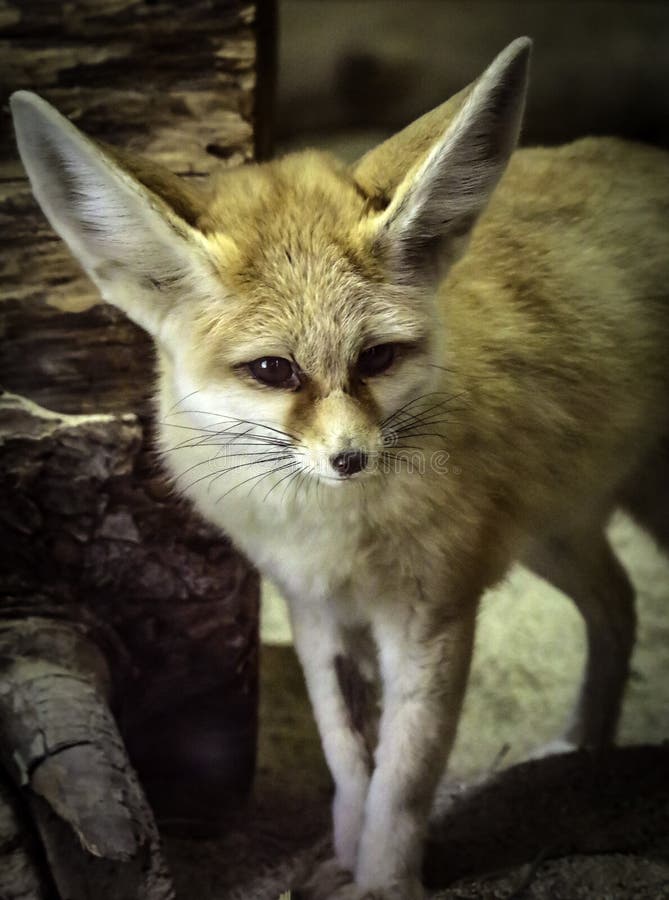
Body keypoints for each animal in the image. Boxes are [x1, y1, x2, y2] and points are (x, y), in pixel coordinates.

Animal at [10, 36, 669, 900]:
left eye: (377, 358)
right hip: (550, 536)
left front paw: (386, 881)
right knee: (618, 602)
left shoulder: (430, 616)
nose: (350, 458)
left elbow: (403, 777)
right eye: (273, 371)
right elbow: (347, 758)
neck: (331, 533)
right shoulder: (313, 608)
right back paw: (584, 748)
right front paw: (345, 857)